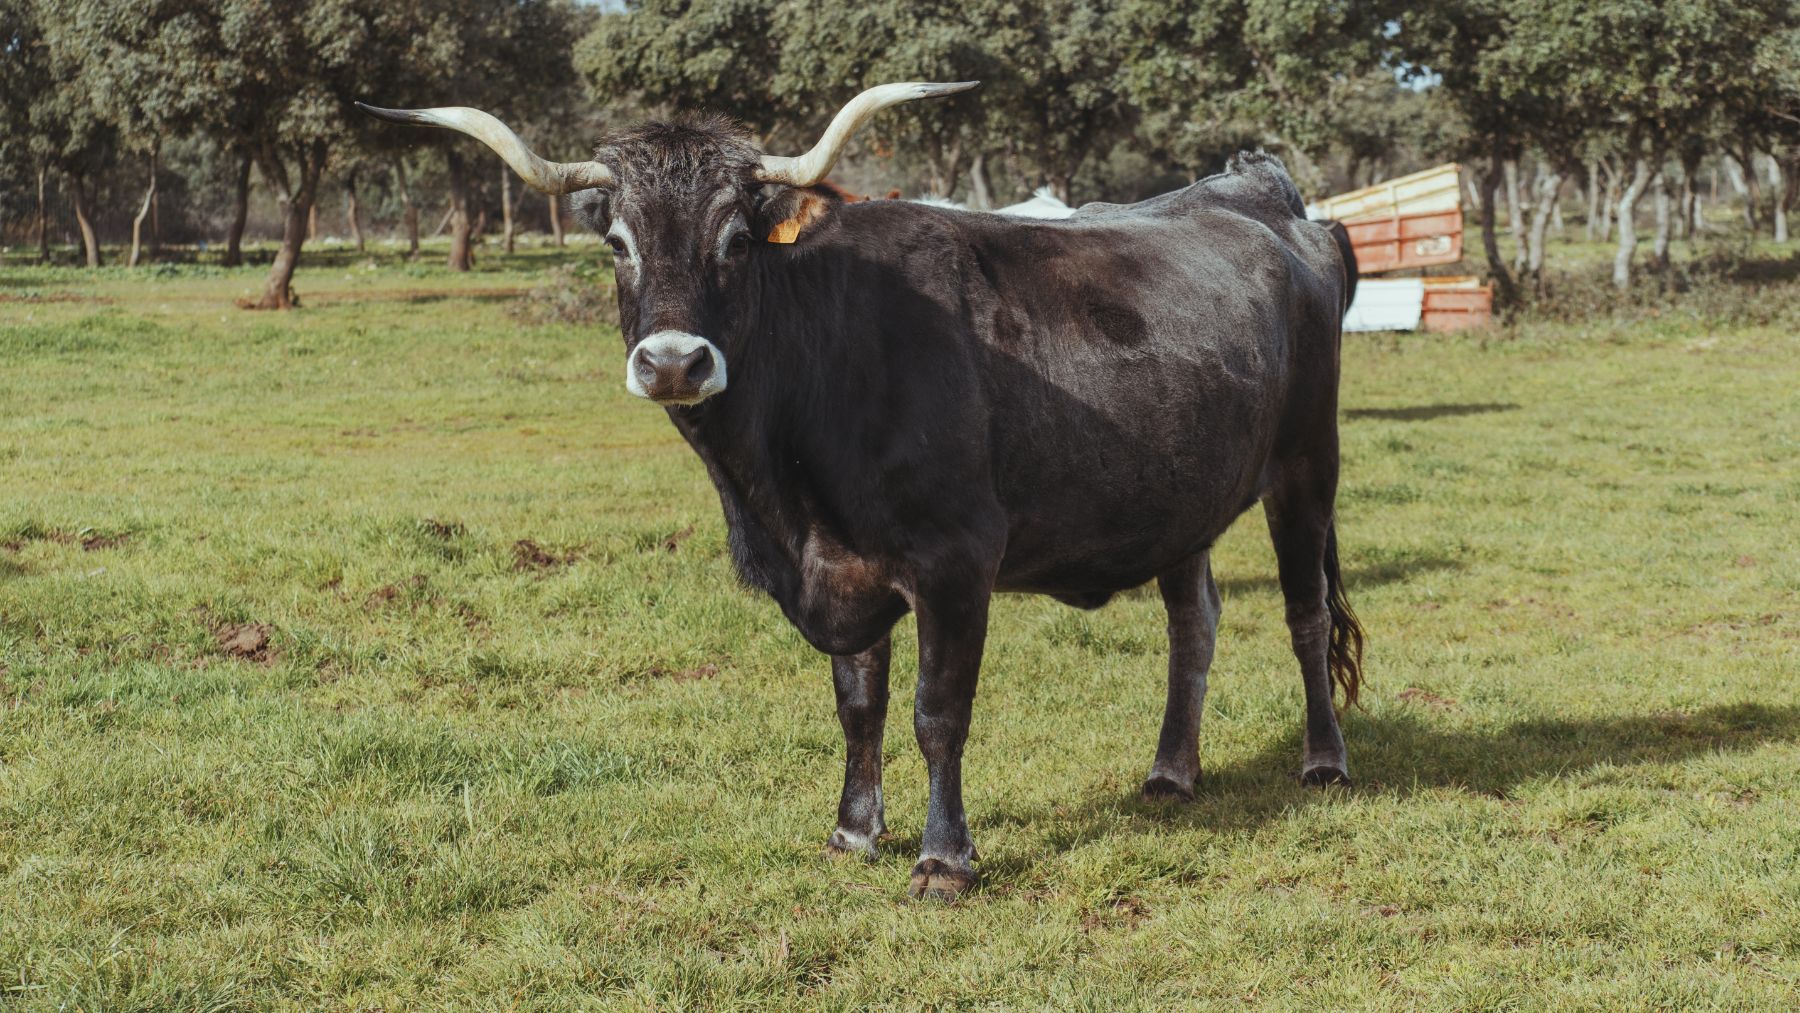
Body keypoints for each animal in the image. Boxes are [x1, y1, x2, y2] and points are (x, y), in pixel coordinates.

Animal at [359, 82, 1364, 901]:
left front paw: (944, 857)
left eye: (735, 238)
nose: (675, 362)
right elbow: (858, 705)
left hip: (1307, 465)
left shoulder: (956, 562)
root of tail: (1261, 194)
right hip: (1182, 497)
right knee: (1194, 622)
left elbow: (936, 713)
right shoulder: (843, 567)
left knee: (1304, 610)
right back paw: (1171, 772)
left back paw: (1323, 760)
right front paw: (853, 830)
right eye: (616, 242)